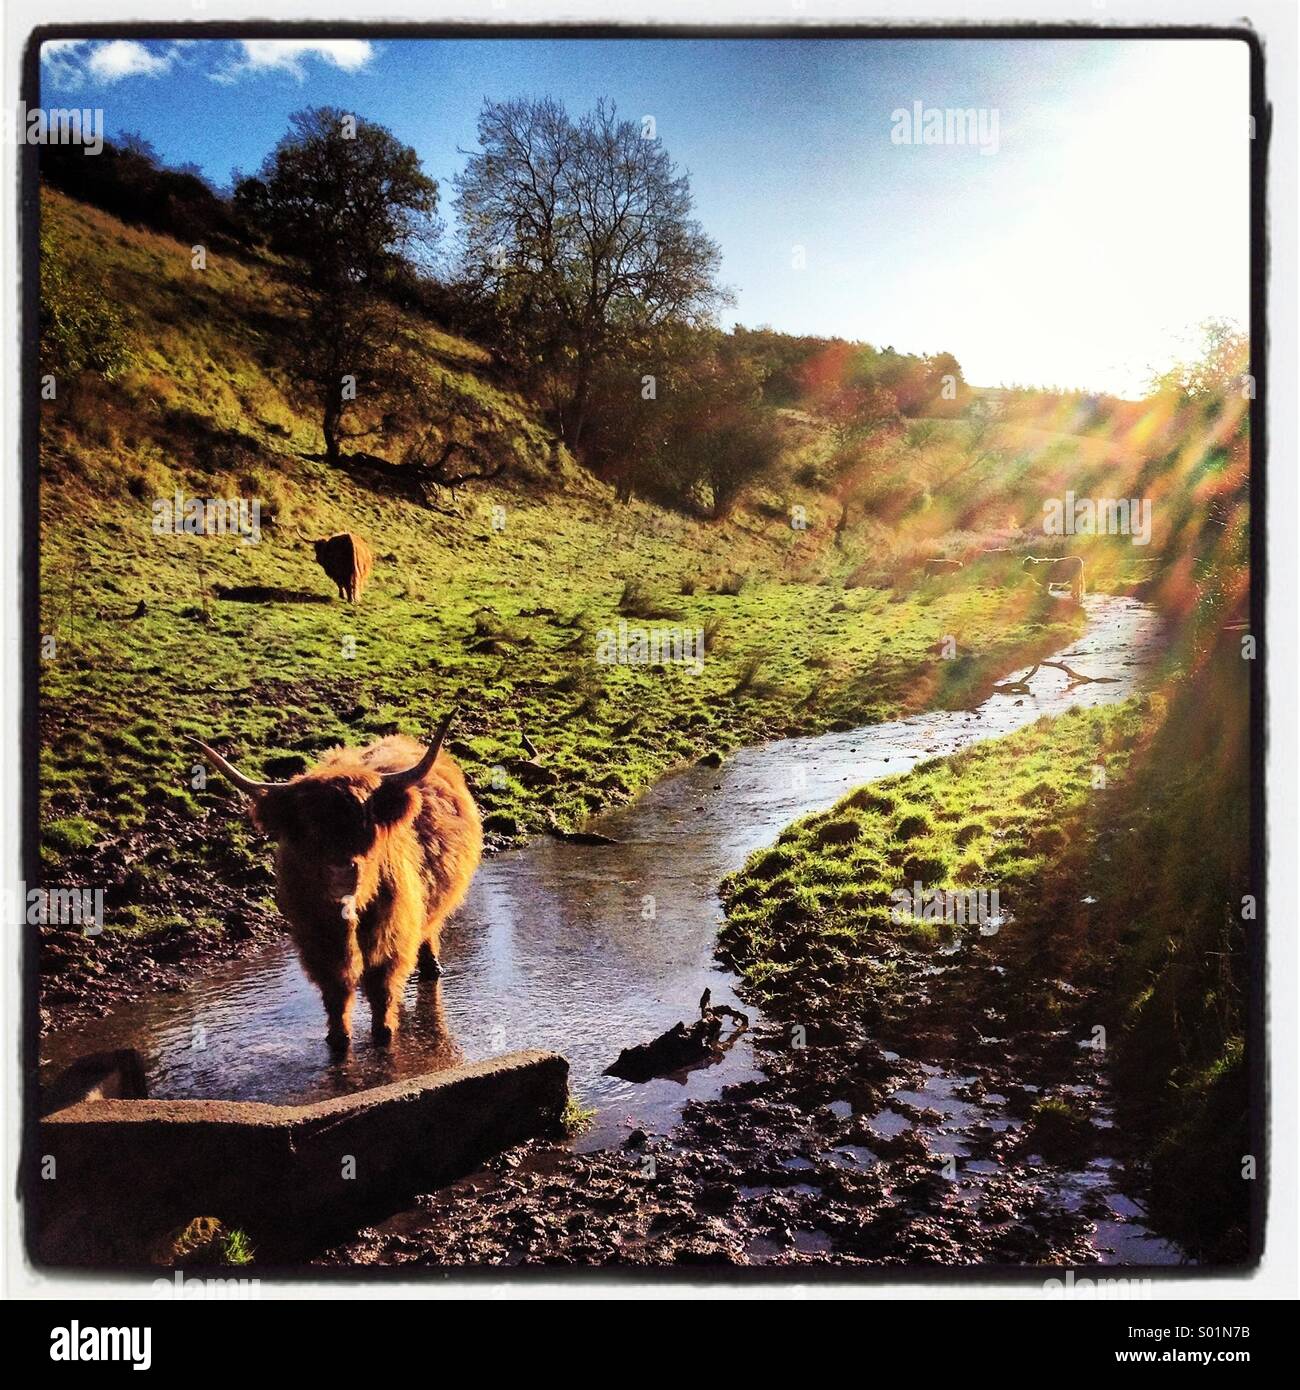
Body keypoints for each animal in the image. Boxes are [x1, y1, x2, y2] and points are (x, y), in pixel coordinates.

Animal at [189, 713, 482, 1051]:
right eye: (309, 828)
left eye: (366, 821)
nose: (342, 870)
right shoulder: (316, 933)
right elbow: (336, 985)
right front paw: (338, 1038)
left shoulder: (392, 926)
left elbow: (381, 981)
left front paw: (384, 1031)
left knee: (428, 929)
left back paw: (432, 969)